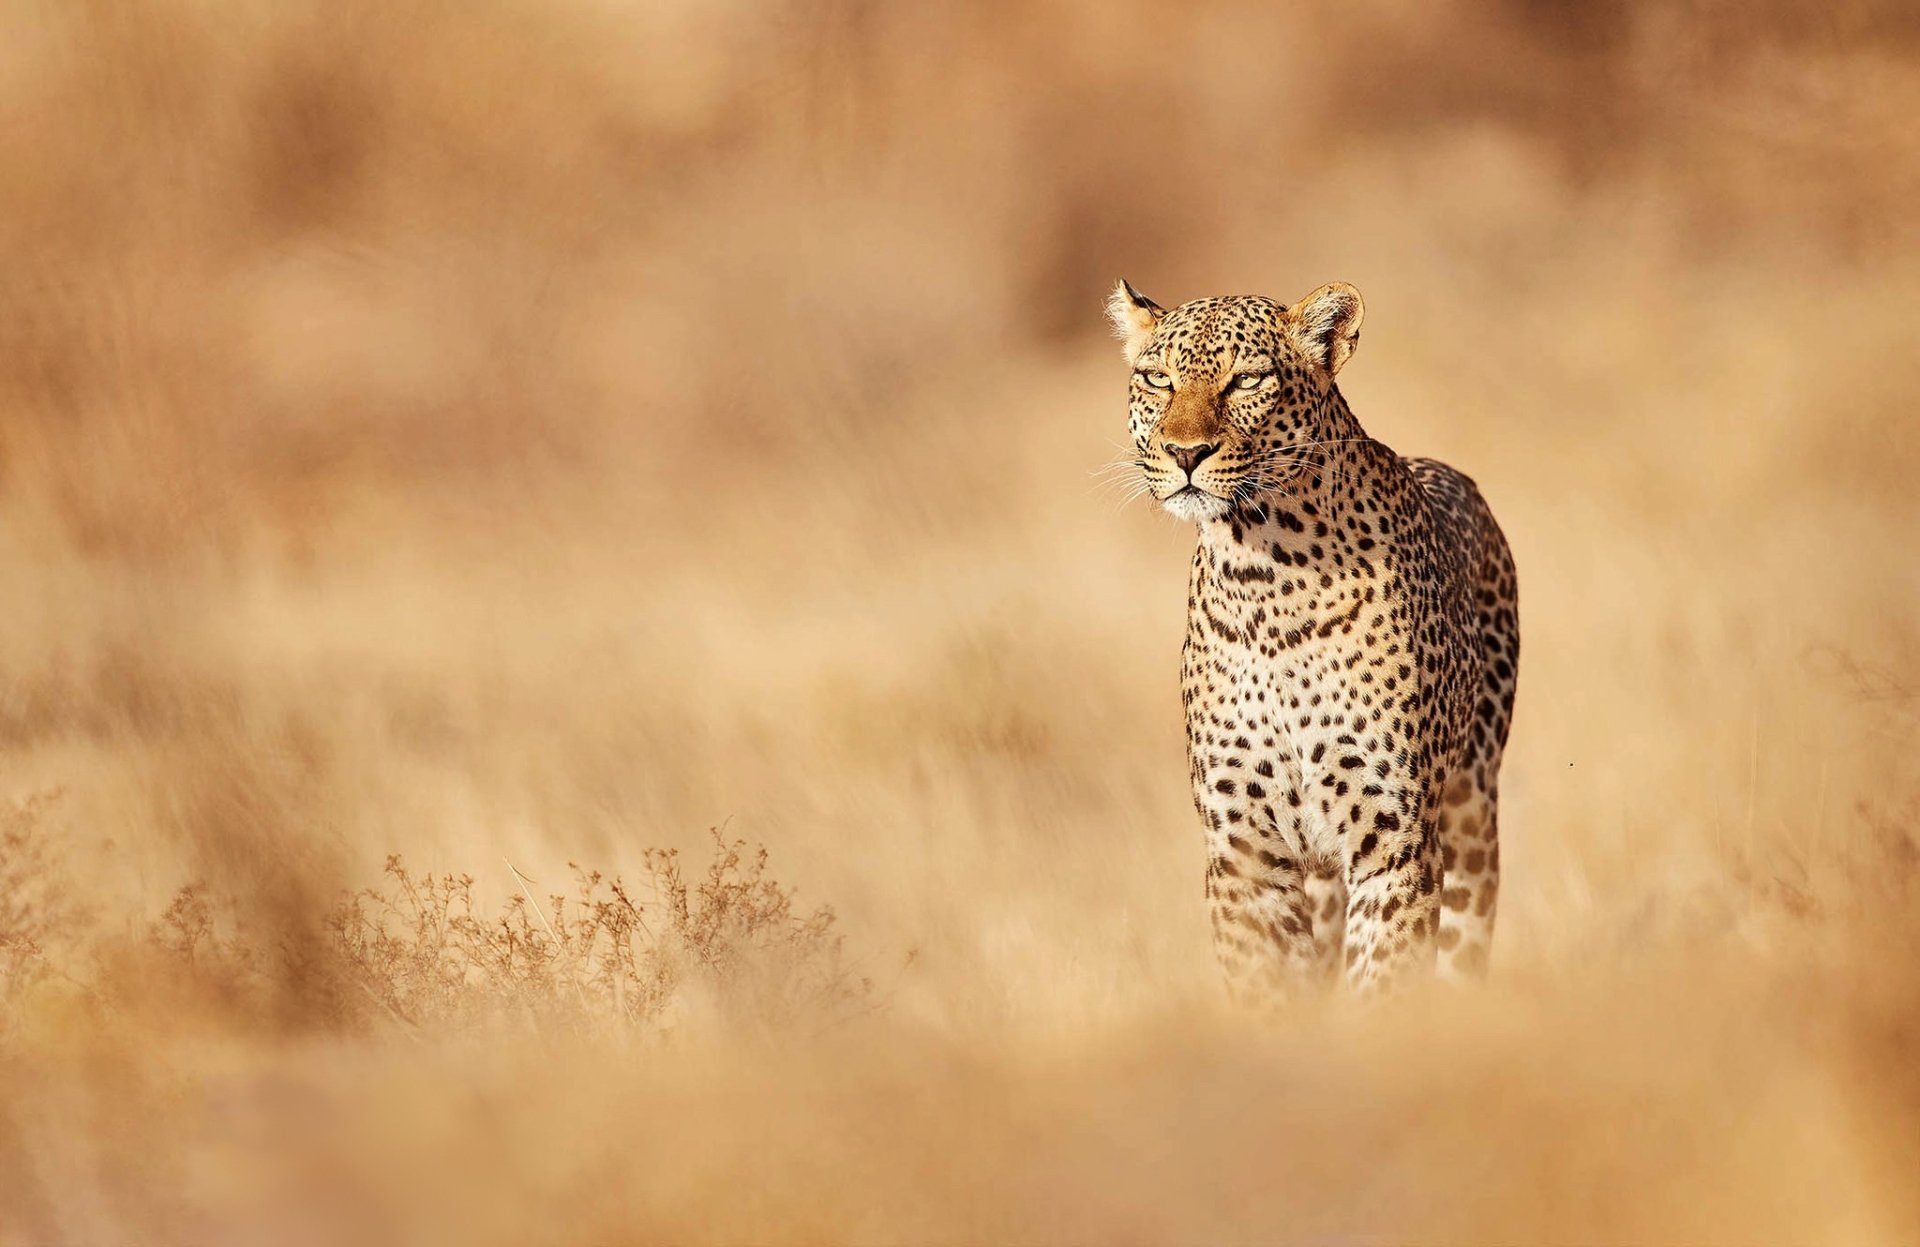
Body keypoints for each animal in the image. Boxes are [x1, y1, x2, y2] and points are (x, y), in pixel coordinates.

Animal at [1107, 279, 1518, 1001]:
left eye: (1246, 380)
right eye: (1158, 379)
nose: (1185, 453)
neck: (1262, 576)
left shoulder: (1395, 841)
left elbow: (1383, 983)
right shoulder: (1243, 850)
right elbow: (1267, 989)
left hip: (1472, 812)